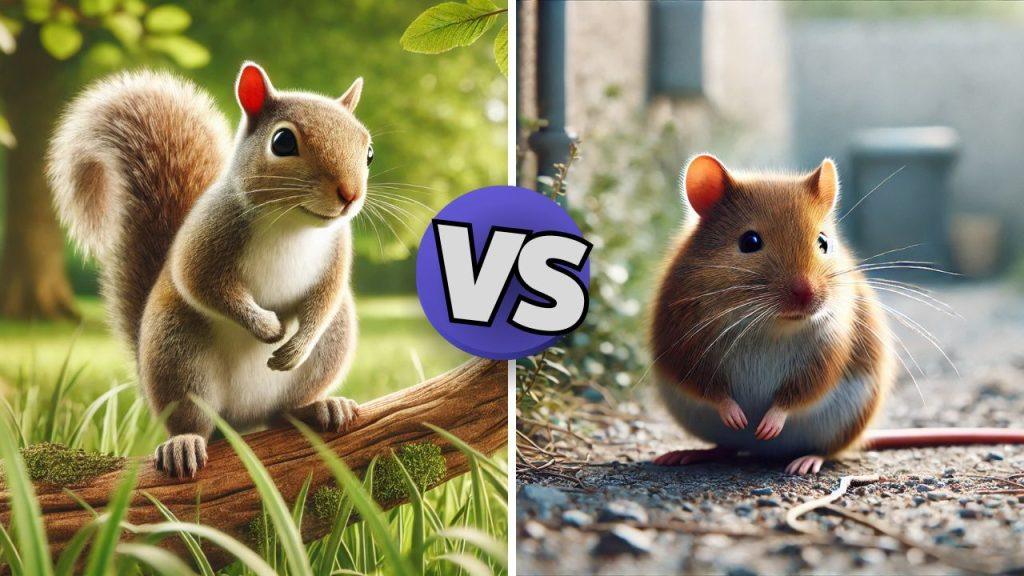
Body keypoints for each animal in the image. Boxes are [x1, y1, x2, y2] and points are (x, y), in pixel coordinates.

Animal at [49, 62, 372, 478]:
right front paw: (266, 326)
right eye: (283, 141)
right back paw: (184, 444)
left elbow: (325, 299)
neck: (291, 224)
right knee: (194, 419)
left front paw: (296, 344)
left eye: (368, 151)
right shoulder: (204, 236)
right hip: (179, 355)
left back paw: (319, 407)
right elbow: (201, 282)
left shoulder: (337, 251)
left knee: (285, 410)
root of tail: (243, 419)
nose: (351, 194)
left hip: (330, 348)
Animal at [649, 154, 1024, 475]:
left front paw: (768, 424)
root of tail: (761, 453)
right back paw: (688, 454)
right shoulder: (685, 342)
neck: (771, 325)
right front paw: (738, 417)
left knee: (827, 450)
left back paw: (804, 460)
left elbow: (802, 390)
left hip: (844, 421)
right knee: (727, 448)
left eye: (823, 242)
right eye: (749, 242)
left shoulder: (829, 347)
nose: (808, 296)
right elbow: (709, 387)